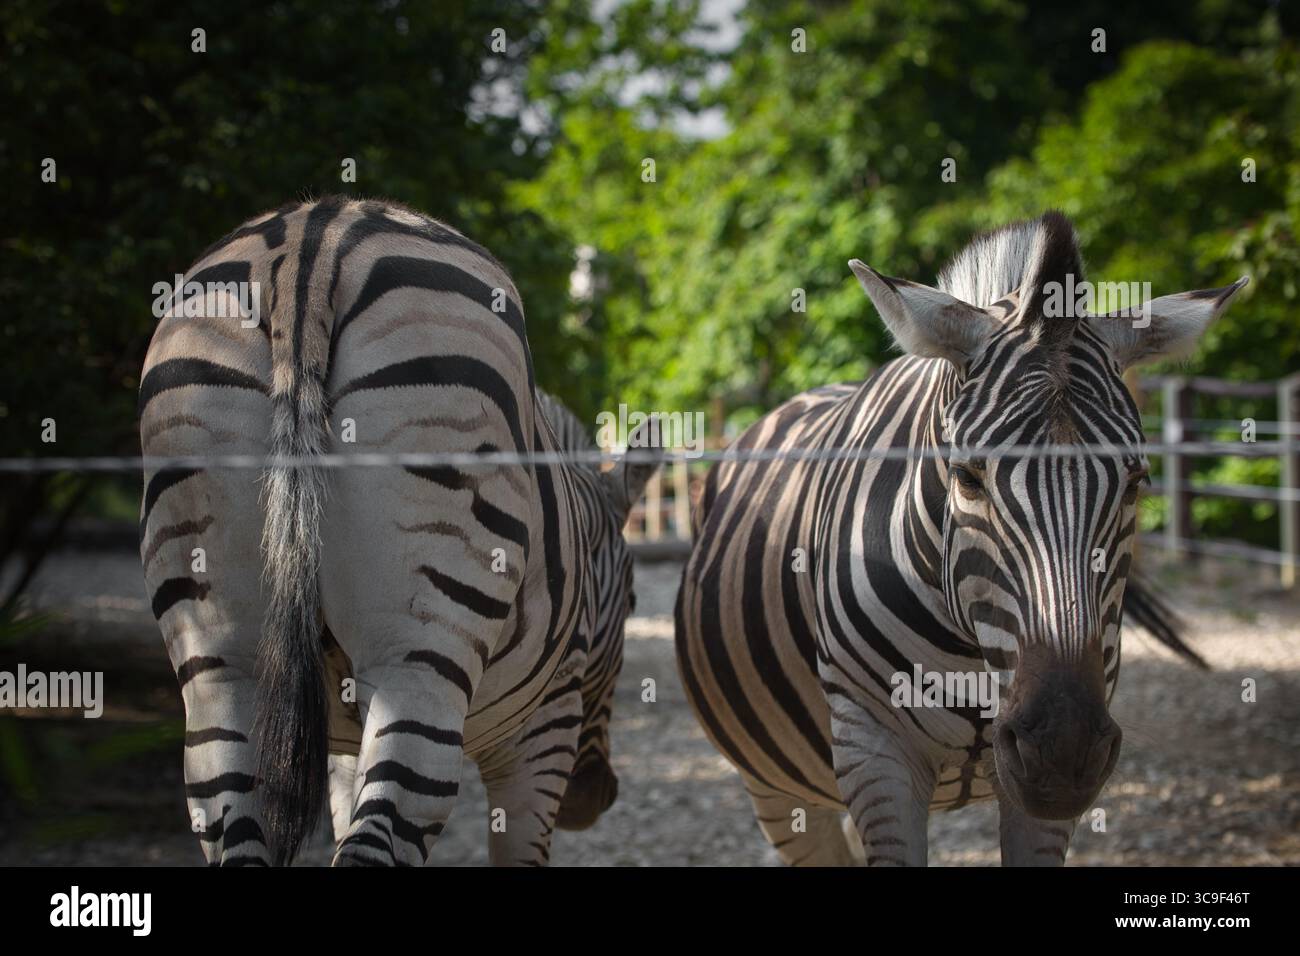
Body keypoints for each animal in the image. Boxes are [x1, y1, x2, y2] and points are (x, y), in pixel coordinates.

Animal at [139, 196, 658, 865]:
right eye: (634, 601)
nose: (593, 801)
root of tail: (314, 234)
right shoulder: (545, 724)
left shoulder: (341, 741)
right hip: (419, 660)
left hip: (219, 660)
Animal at [675, 212, 1247, 866]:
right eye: (969, 478)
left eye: (1135, 482)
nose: (1065, 750)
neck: (973, 652)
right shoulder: (871, 748)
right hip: (777, 788)